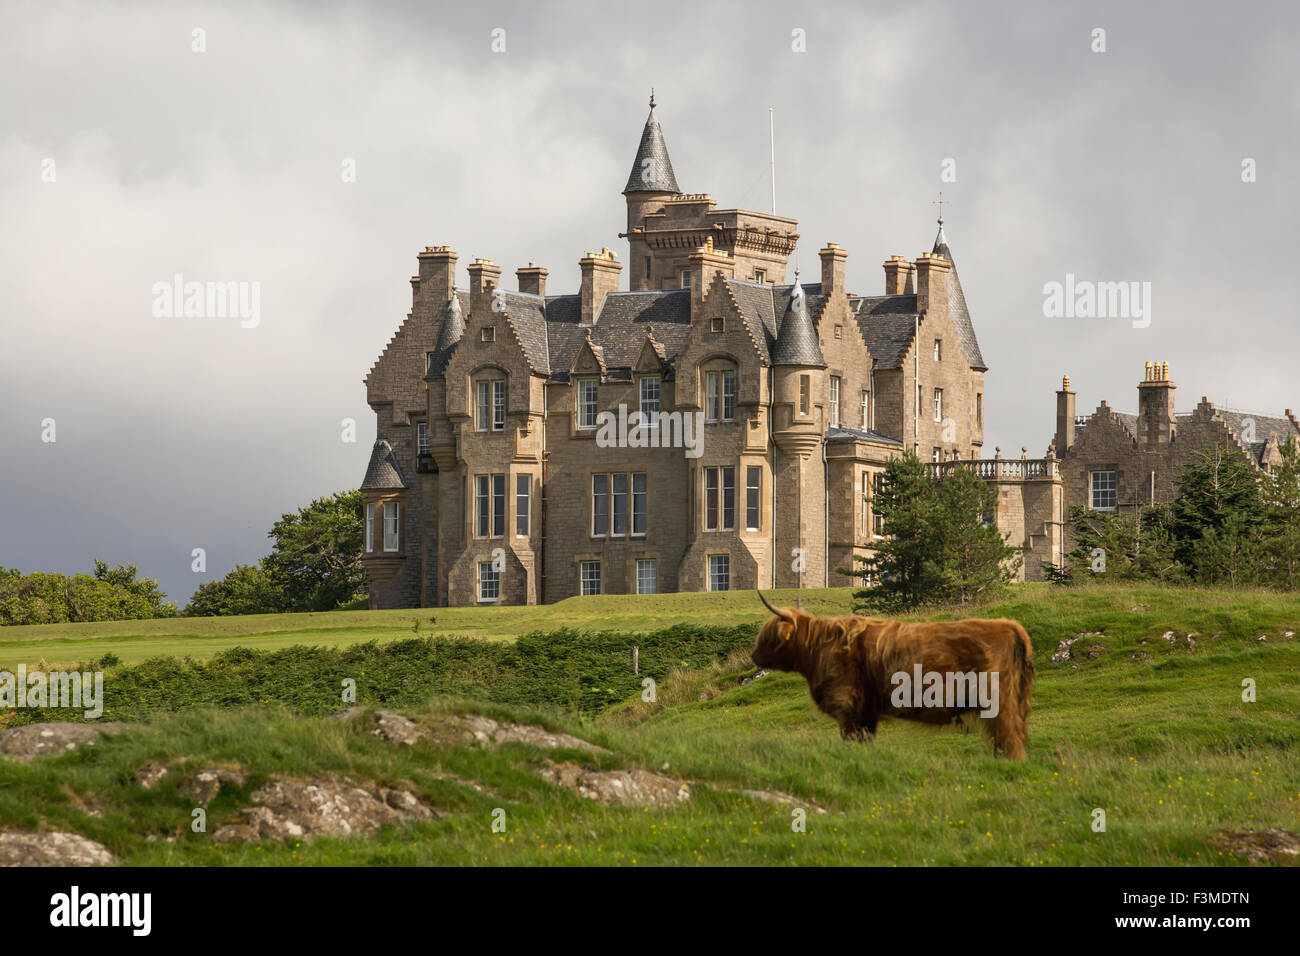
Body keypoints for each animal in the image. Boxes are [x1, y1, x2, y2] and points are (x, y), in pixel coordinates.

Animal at [751, 593, 1034, 758]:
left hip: (1000, 704)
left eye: (768, 636)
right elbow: (865, 740)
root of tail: (1009, 625)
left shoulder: (847, 703)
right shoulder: (866, 710)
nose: (753, 656)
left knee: (1010, 739)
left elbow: (849, 738)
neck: (819, 647)